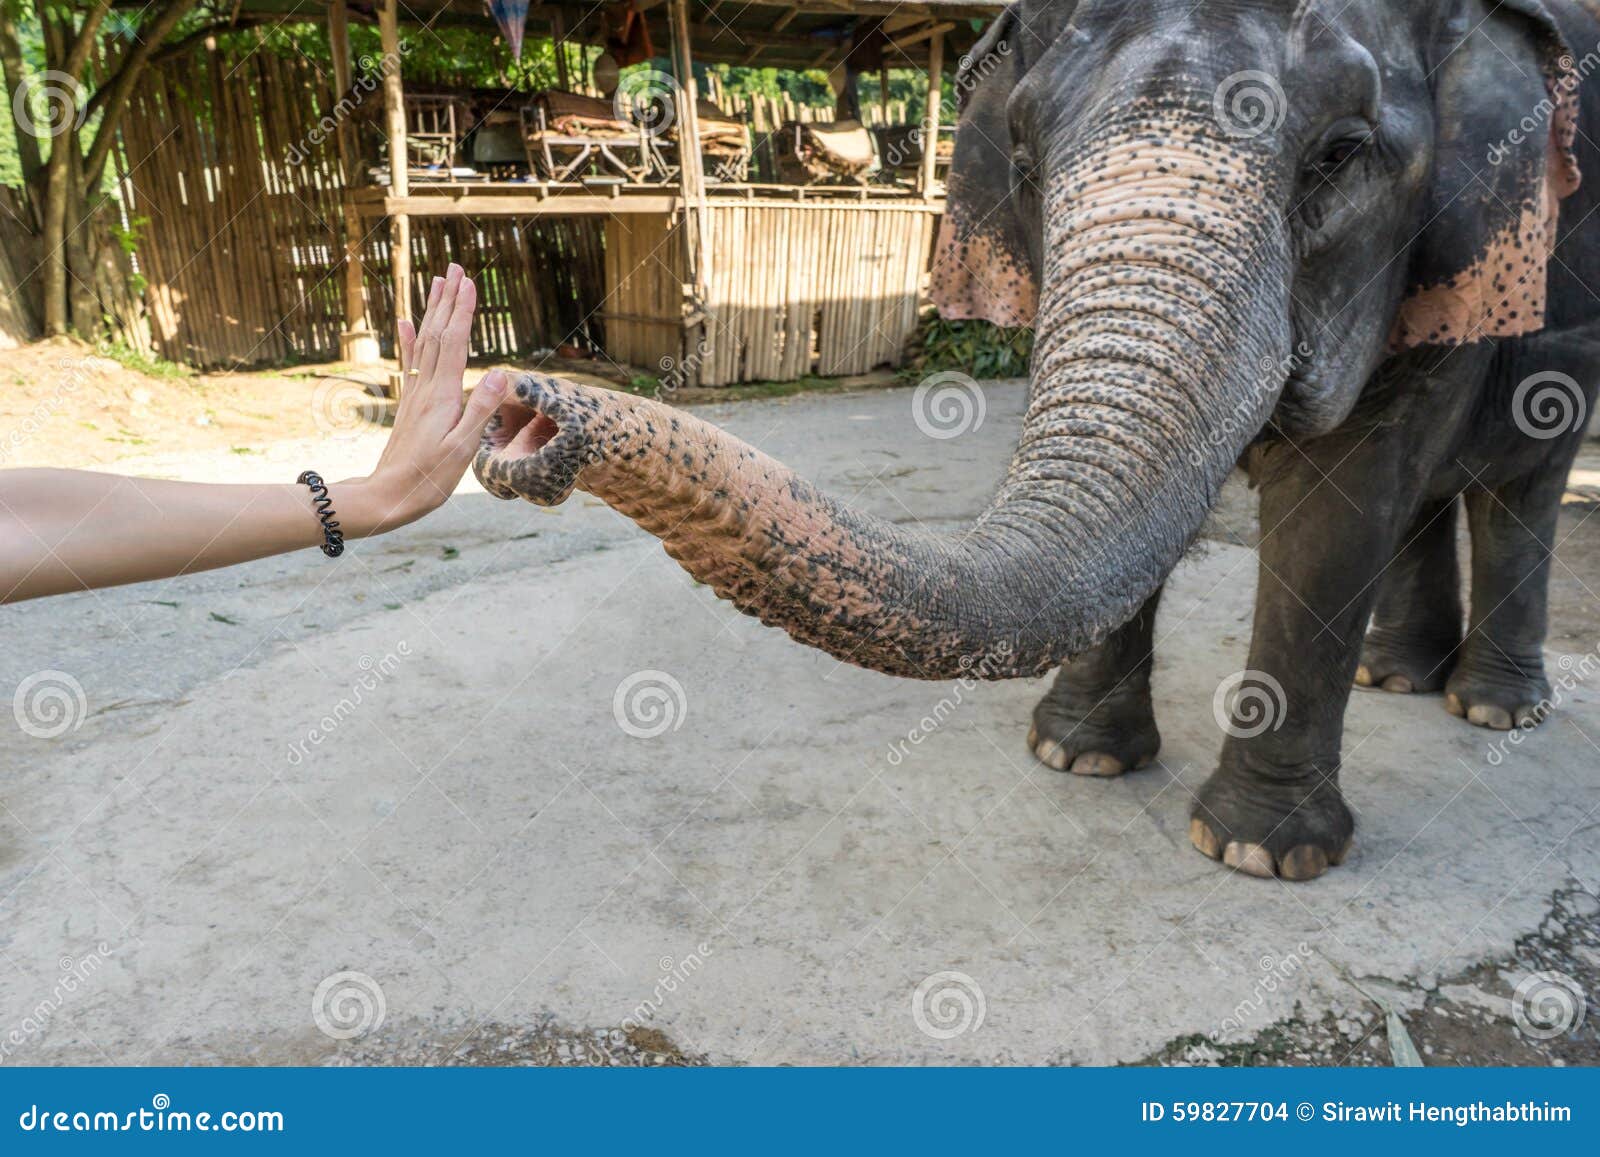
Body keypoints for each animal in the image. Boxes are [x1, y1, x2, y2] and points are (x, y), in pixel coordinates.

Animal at [475, 0, 1600, 882]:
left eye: (1339, 155)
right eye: (1023, 162)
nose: (517, 407)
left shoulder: (1451, 245)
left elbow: (1338, 503)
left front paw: (1257, 853)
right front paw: (1076, 759)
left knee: (1517, 484)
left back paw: (1490, 711)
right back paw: (1399, 679)